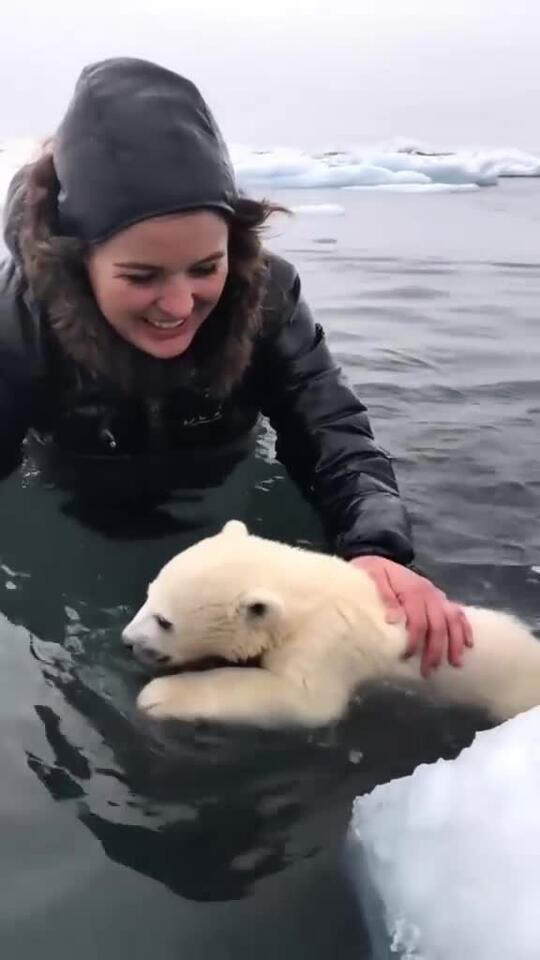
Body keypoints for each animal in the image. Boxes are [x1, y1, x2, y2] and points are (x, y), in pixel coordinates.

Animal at [122, 520, 540, 728]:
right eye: (148, 593)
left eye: (164, 621)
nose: (127, 640)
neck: (307, 592)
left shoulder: (326, 643)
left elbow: (305, 702)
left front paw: (158, 695)